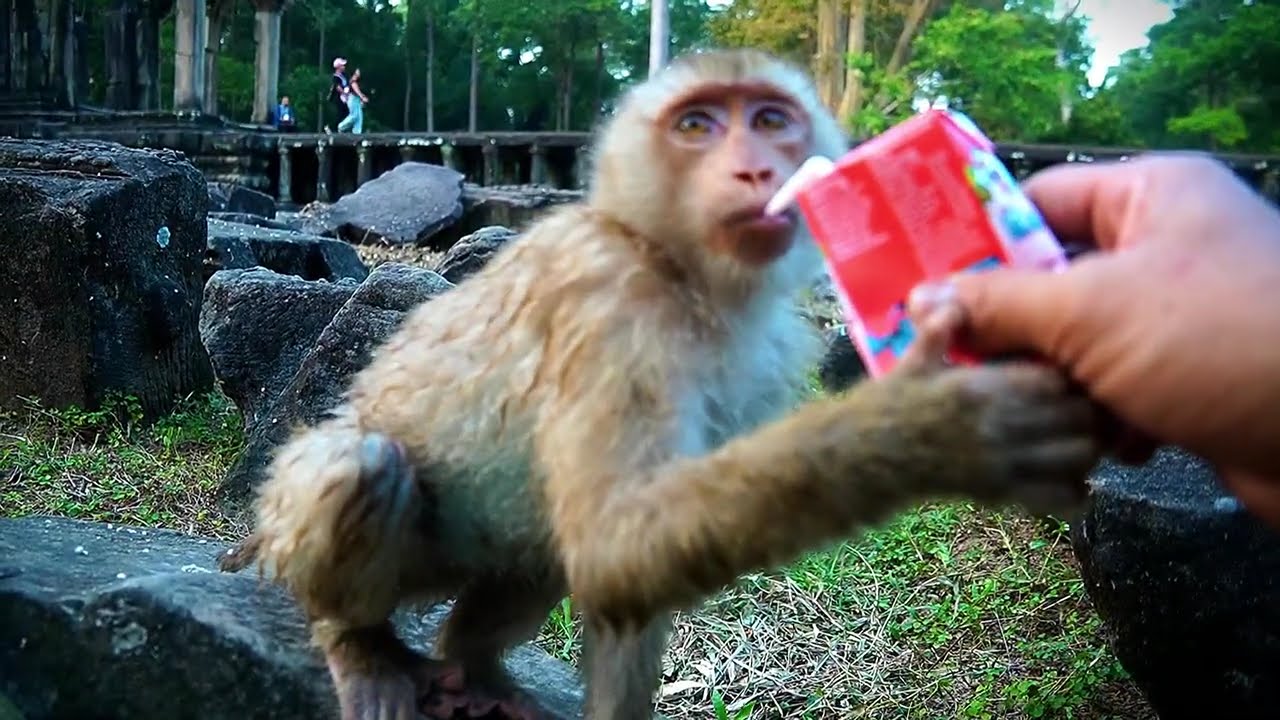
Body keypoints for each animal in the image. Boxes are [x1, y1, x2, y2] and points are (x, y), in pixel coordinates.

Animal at [219, 48, 1102, 720]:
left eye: (770, 119)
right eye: (697, 125)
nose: (755, 170)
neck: (676, 264)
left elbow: (626, 562)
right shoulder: (610, 301)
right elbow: (618, 535)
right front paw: (943, 419)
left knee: (547, 536)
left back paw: (473, 662)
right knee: (359, 463)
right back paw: (358, 644)